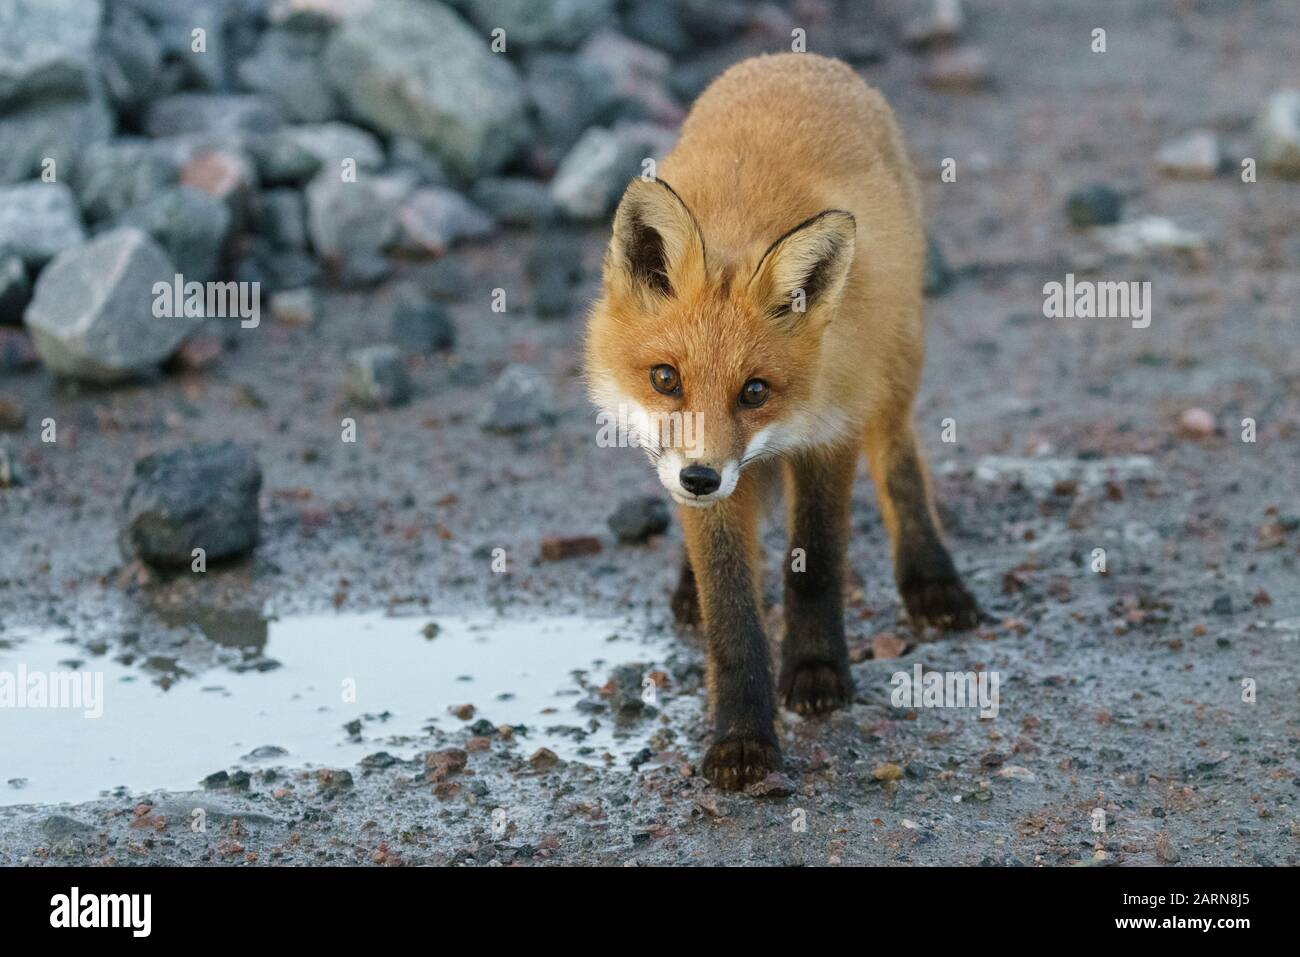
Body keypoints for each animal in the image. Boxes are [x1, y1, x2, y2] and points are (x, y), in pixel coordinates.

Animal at [585, 53, 981, 790]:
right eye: (665, 378)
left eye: (755, 390)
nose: (702, 477)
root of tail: (795, 59)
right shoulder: (702, 482)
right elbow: (731, 614)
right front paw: (742, 736)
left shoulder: (832, 431)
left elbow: (815, 565)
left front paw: (817, 670)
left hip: (896, 362)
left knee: (900, 462)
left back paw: (930, 577)